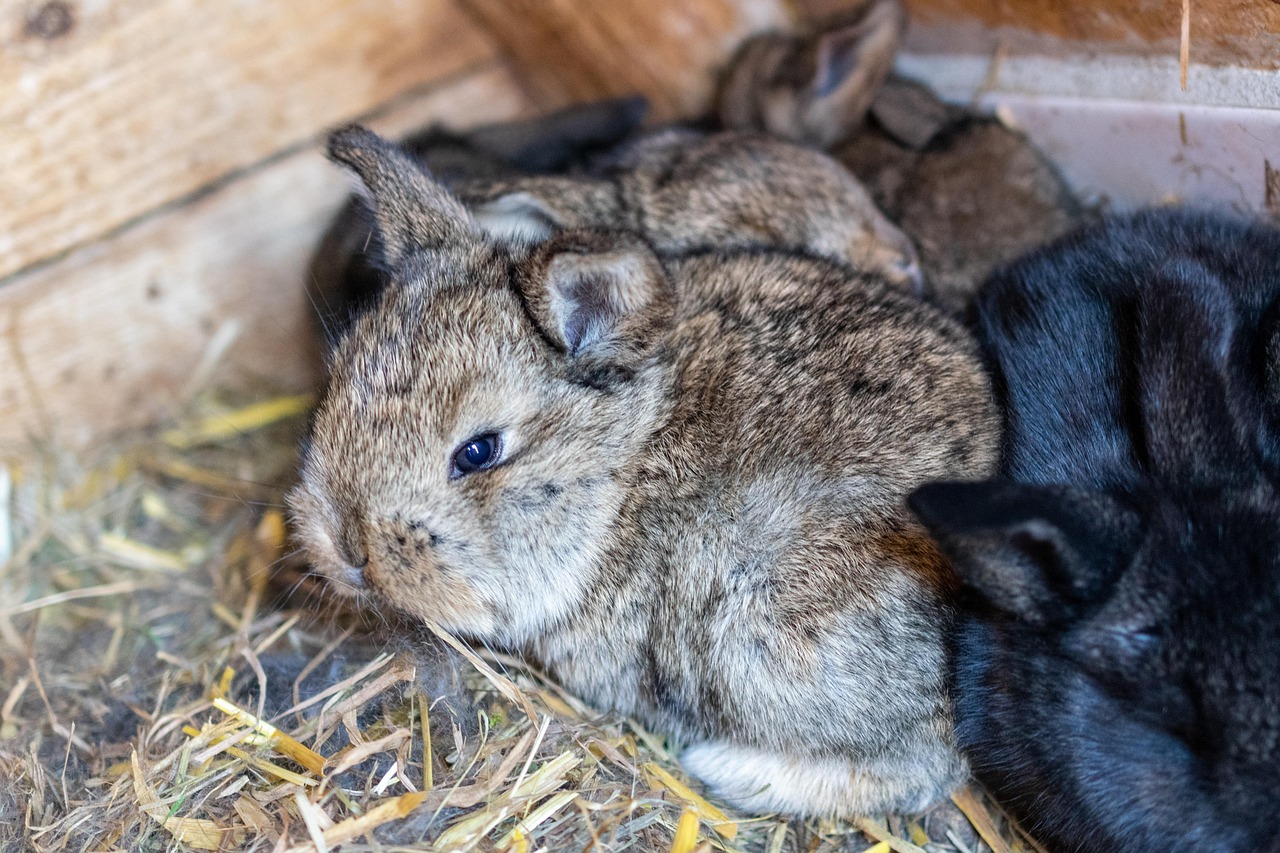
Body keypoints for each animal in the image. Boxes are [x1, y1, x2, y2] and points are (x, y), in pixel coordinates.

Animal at [288, 126, 1001, 818]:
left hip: (770, 638)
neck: (629, 463)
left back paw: (726, 770)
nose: (346, 552)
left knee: (920, 769)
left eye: (479, 451)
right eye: (335, 388)